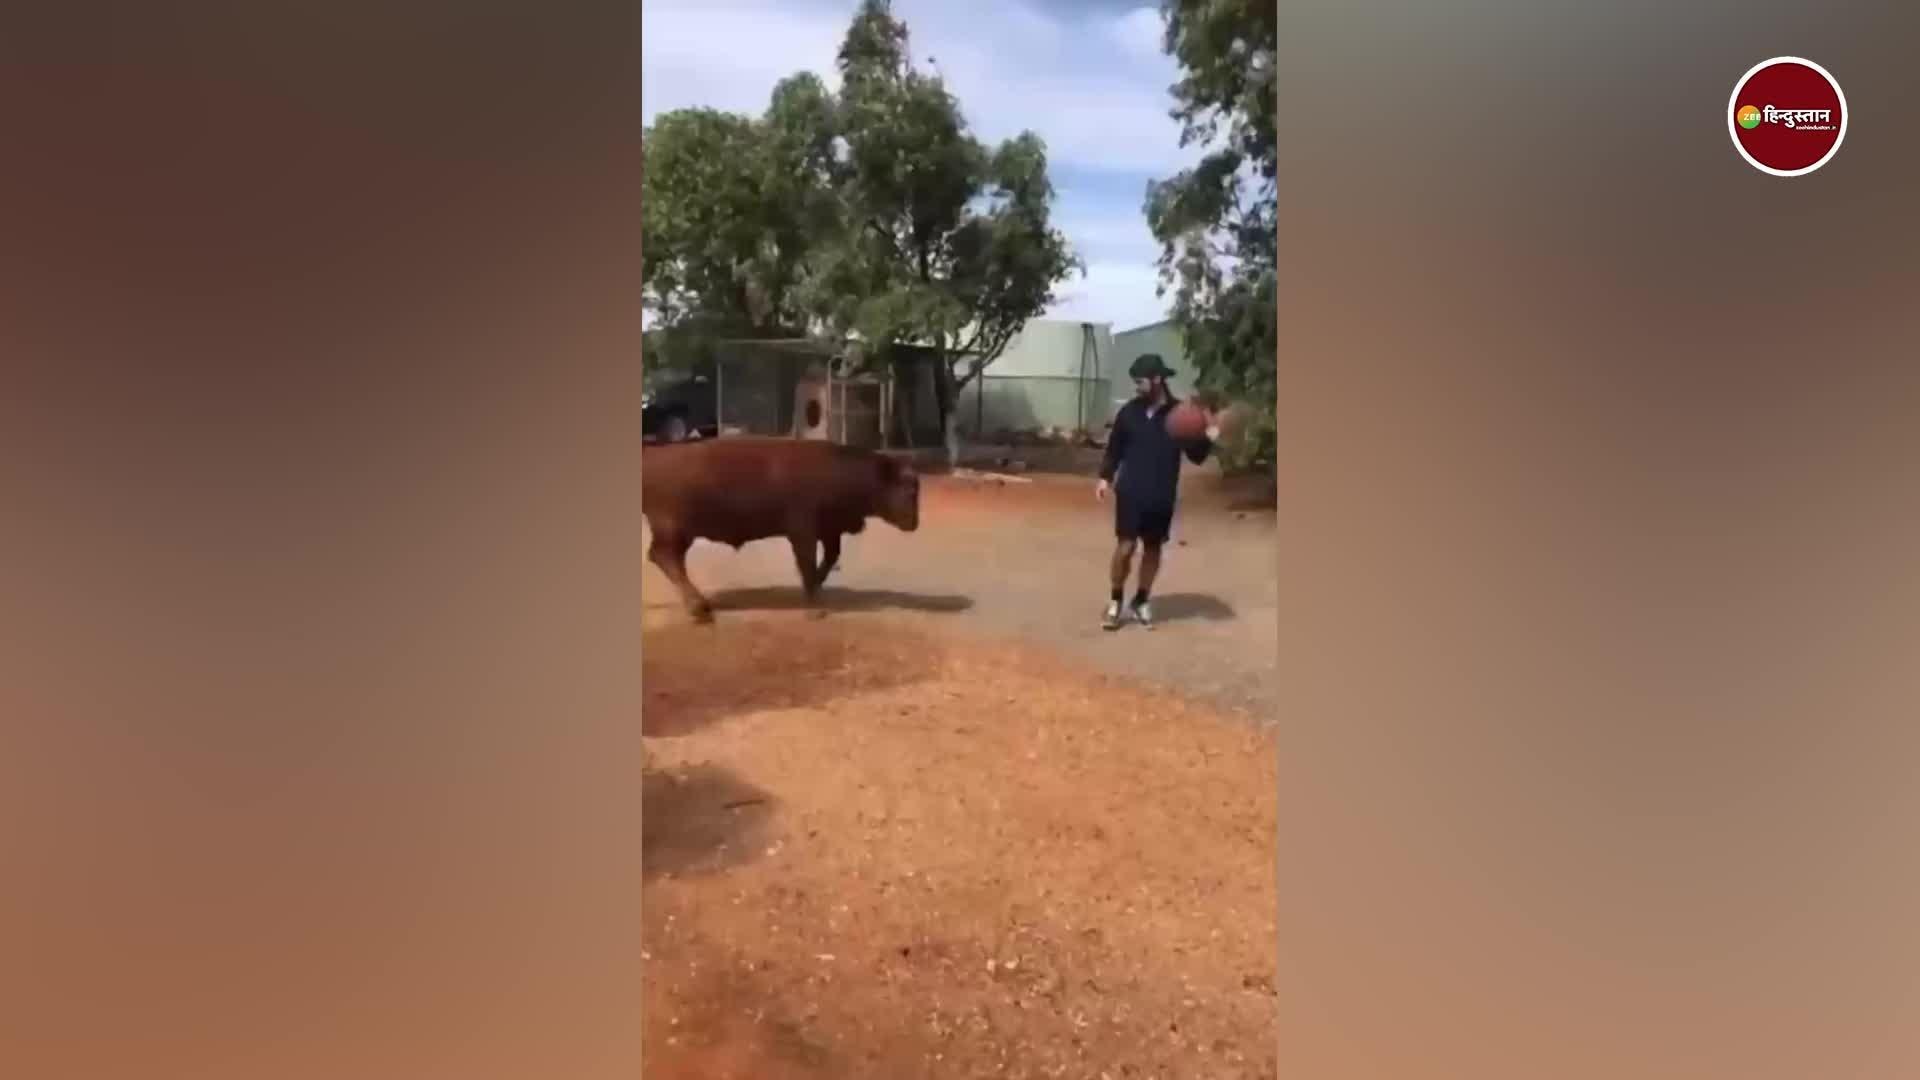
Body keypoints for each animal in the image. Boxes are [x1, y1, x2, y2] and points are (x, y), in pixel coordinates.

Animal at [641, 437, 921, 621]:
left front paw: (816, 588)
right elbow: (807, 563)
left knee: (666, 558)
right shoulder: (803, 533)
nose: (914, 523)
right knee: (665, 557)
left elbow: (830, 558)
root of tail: (651, 457)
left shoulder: (829, 531)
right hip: (675, 531)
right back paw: (698, 608)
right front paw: (814, 607)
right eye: (909, 489)